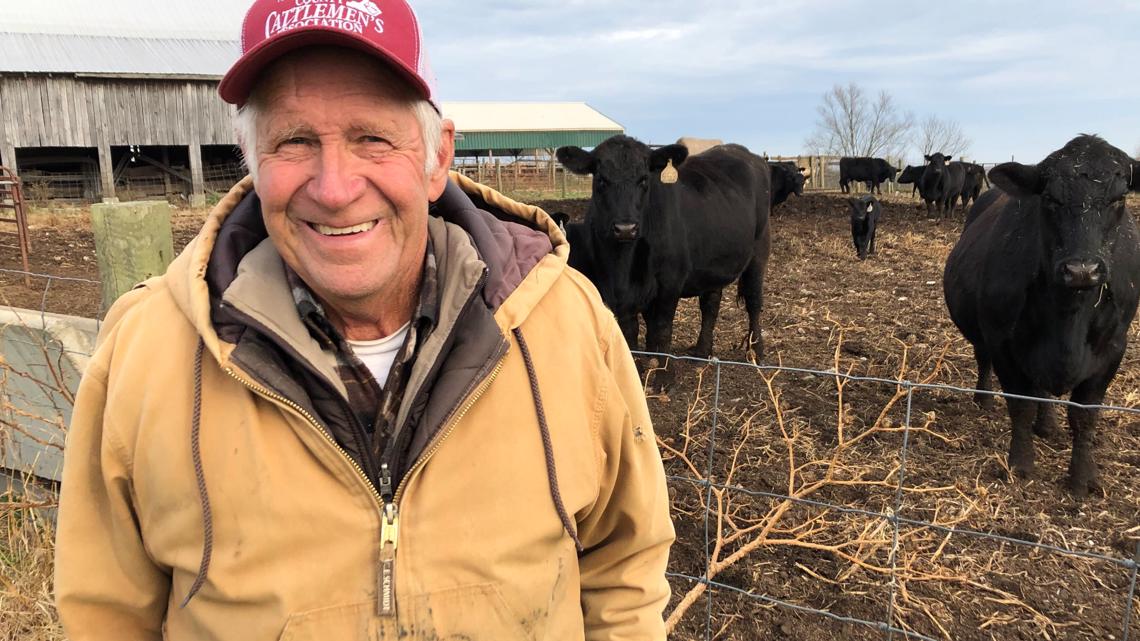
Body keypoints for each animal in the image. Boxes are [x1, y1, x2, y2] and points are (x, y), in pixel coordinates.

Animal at [556, 136, 771, 374]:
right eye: (601, 180)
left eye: (644, 180)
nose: (625, 228)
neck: (623, 267)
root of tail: (743, 152)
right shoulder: (616, 292)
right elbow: (631, 332)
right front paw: (640, 368)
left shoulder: (670, 282)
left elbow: (662, 330)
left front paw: (664, 375)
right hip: (715, 262)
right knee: (711, 305)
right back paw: (701, 353)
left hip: (759, 251)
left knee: (753, 301)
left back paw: (757, 353)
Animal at [943, 135, 1140, 497]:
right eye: (1049, 199)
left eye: (1119, 198)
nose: (1081, 270)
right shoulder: (1002, 341)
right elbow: (1020, 405)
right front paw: (1020, 463)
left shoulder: (1113, 349)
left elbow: (1085, 416)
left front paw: (1082, 478)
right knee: (987, 363)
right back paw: (984, 399)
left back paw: (1047, 425)